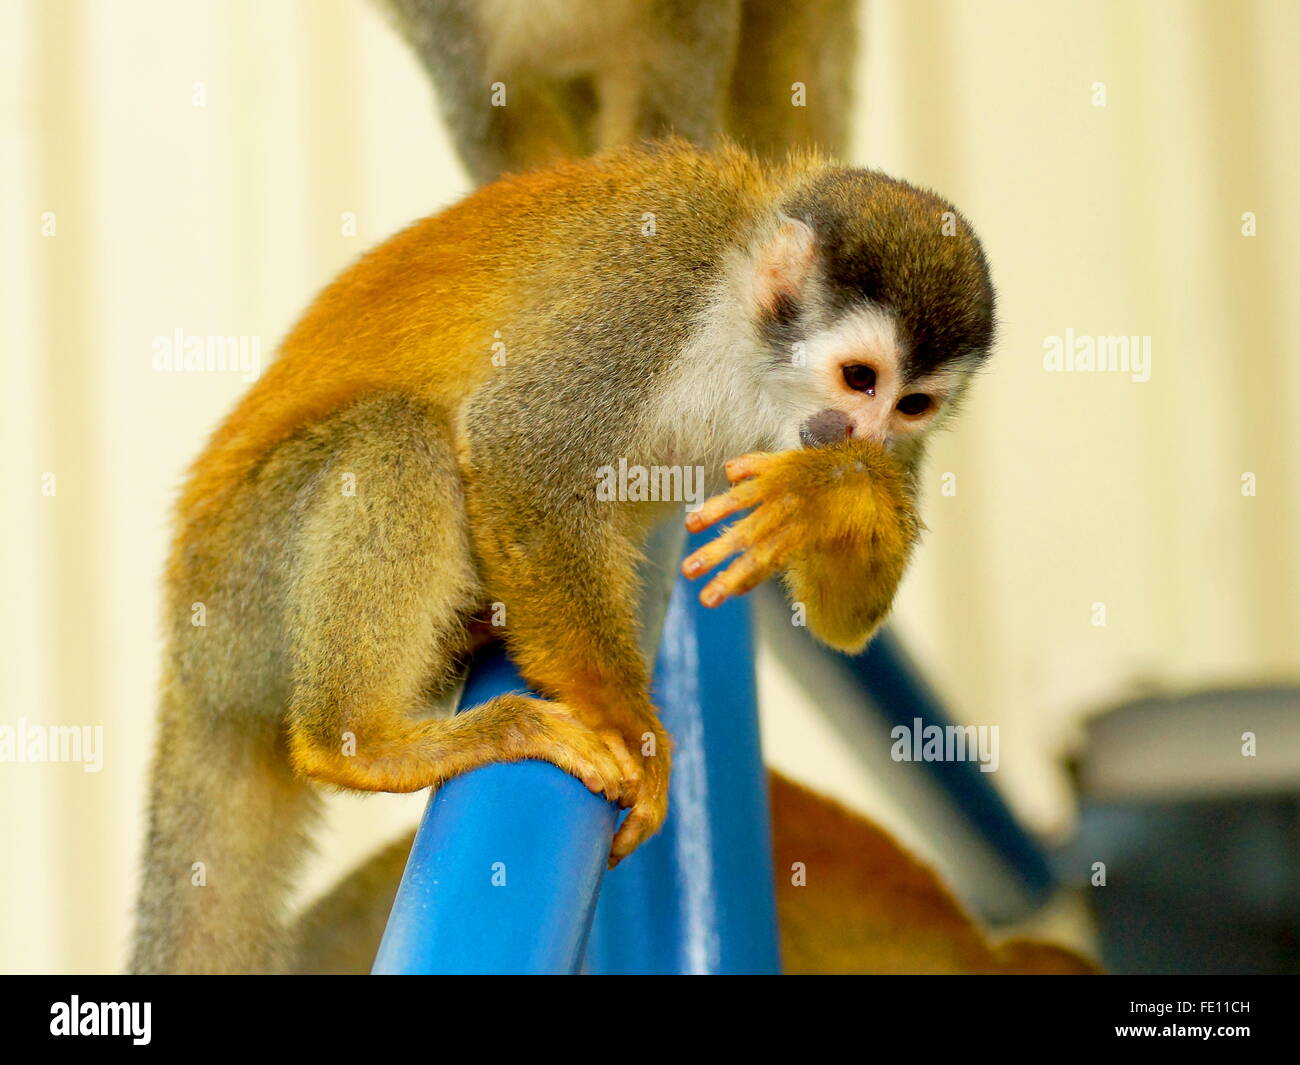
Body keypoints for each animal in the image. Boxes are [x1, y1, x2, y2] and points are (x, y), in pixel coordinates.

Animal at [130, 139, 995, 974]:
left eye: (911, 405)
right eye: (859, 378)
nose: (866, 436)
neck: (751, 355)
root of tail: (190, 658)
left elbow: (844, 620)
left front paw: (838, 493)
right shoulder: (647, 286)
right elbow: (521, 454)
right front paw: (625, 722)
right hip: (243, 583)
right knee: (394, 436)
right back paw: (362, 742)